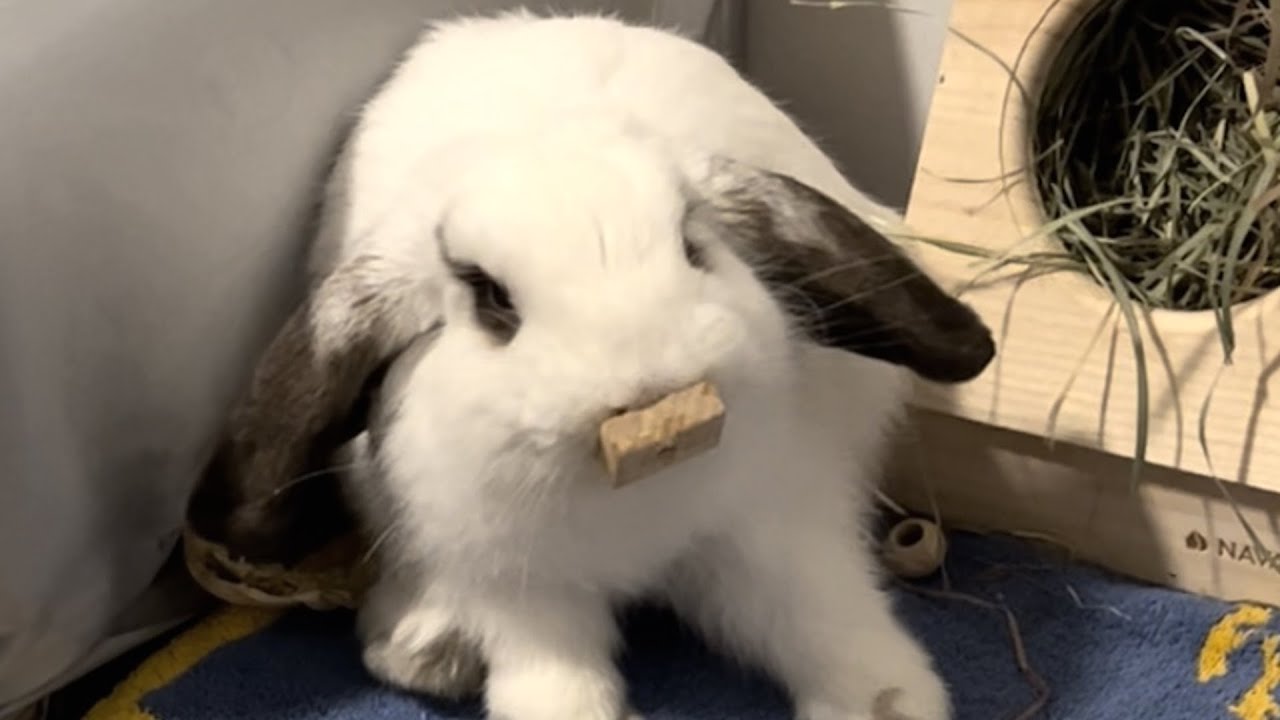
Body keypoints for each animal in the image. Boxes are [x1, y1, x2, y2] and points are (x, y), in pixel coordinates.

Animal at [204, 11, 994, 720]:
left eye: (693, 245)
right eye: (490, 297)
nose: (653, 392)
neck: (631, 505)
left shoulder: (770, 524)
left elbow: (819, 614)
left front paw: (889, 703)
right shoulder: (521, 592)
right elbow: (555, 683)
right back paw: (422, 646)